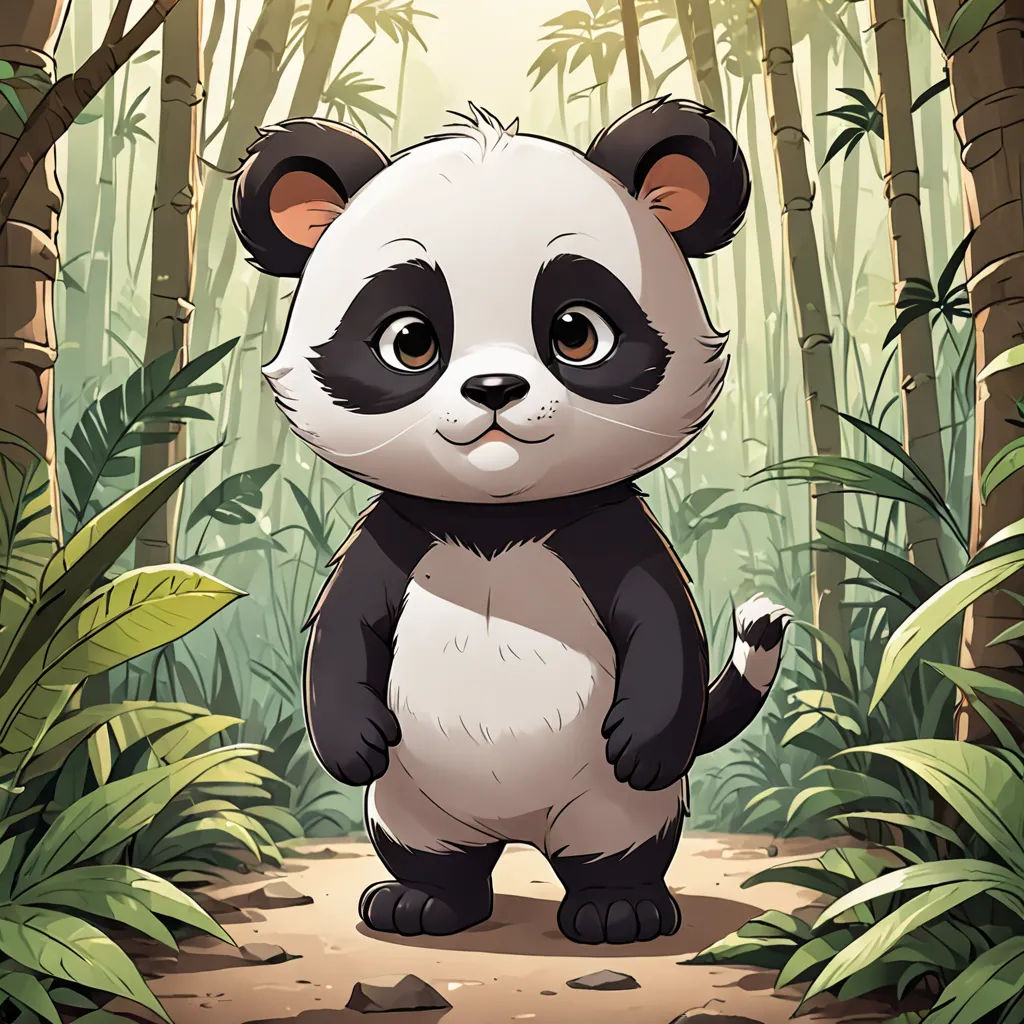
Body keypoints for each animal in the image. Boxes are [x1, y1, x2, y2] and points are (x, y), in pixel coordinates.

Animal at [230, 100, 790, 946]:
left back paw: (618, 908)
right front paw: (350, 740)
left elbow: (662, 622)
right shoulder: (397, 535)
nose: (494, 388)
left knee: (621, 837)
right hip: (412, 797)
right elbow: (343, 627)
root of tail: (518, 828)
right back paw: (421, 903)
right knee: (425, 844)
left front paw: (645, 740)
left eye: (576, 331)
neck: (498, 524)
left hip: (606, 804)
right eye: (410, 340)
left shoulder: (604, 531)